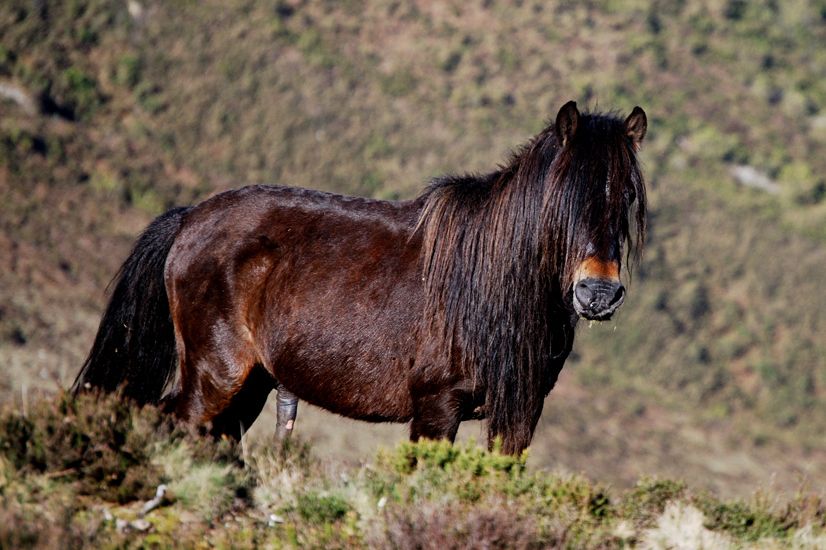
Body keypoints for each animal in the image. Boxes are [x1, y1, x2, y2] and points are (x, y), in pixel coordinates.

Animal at [73, 101, 647, 455]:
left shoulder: (518, 418)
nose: (598, 294)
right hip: (216, 376)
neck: (491, 283)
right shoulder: (437, 409)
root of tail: (189, 218)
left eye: (626, 197)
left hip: (252, 385)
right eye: (564, 196)